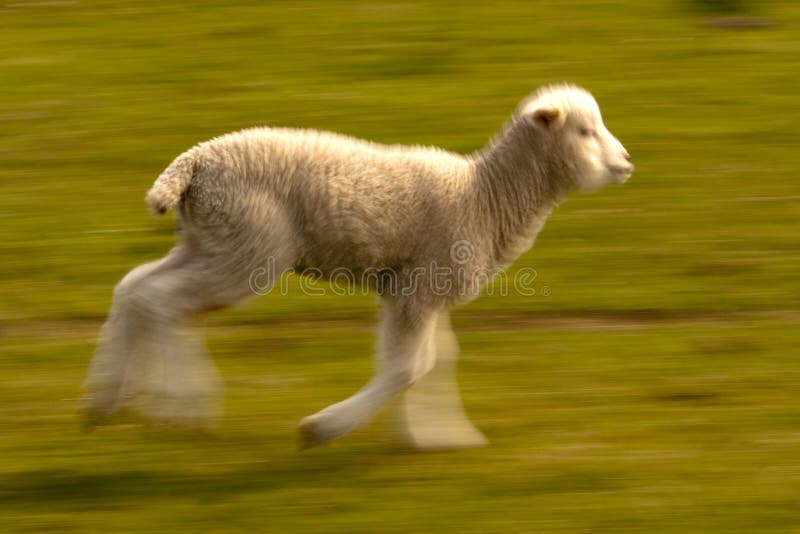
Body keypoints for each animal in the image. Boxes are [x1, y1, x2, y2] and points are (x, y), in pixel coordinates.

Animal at [83, 83, 634, 449]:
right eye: (586, 131)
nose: (627, 162)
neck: (485, 197)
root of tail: (193, 164)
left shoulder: (416, 284)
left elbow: (439, 358)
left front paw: (440, 435)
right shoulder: (421, 286)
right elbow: (409, 366)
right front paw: (324, 428)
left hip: (210, 239)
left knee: (136, 289)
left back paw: (107, 399)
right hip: (248, 247)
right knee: (164, 301)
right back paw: (183, 404)